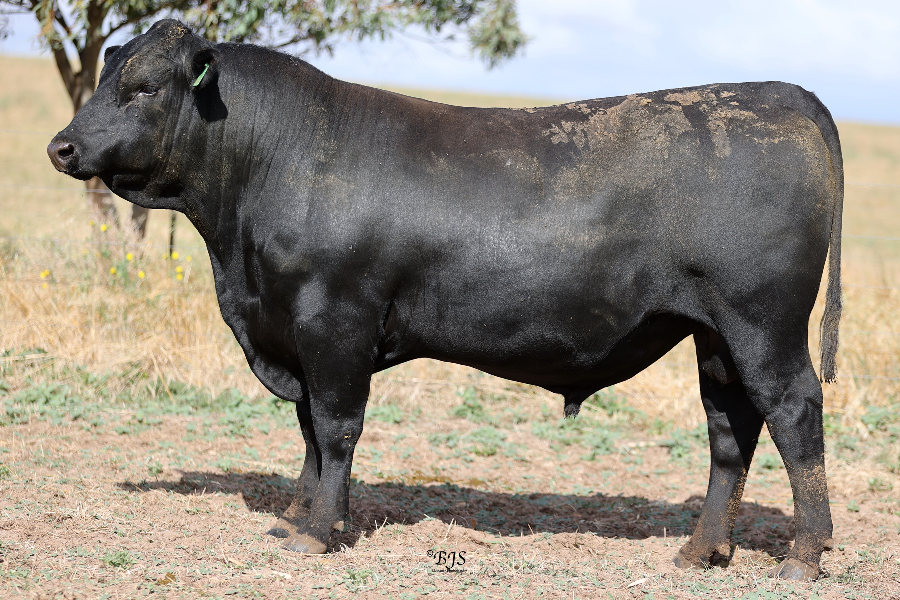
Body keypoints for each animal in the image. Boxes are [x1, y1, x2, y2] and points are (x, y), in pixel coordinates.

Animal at [48, 20, 843, 580]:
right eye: (109, 75)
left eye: (146, 86)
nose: (61, 146)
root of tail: (778, 92)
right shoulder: (294, 334)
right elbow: (307, 433)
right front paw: (295, 519)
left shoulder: (334, 323)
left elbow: (334, 429)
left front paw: (320, 532)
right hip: (715, 335)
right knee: (730, 432)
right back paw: (701, 551)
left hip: (764, 325)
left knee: (795, 417)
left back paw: (804, 555)